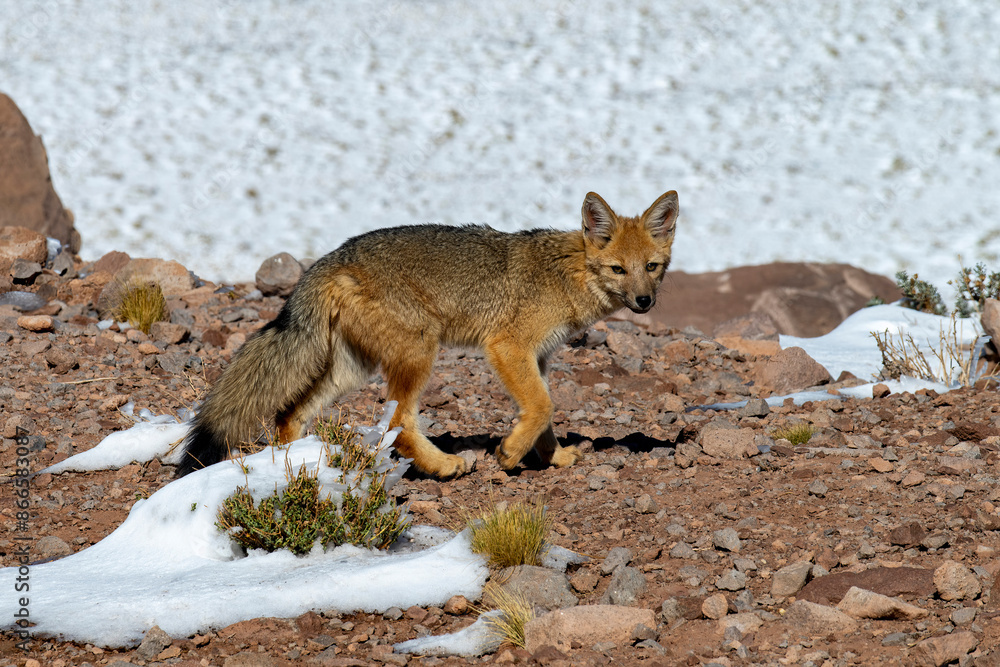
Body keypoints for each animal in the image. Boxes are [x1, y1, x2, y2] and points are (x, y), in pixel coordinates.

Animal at [175, 190, 678, 479]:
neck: (568, 272)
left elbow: (545, 412)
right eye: (618, 269)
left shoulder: (539, 358)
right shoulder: (508, 348)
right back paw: (444, 465)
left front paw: (552, 457)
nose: (644, 302)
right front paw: (510, 454)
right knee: (397, 423)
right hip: (419, 353)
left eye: (652, 267)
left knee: (289, 414)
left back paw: (292, 465)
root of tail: (331, 258)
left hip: (350, 370)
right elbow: (541, 407)